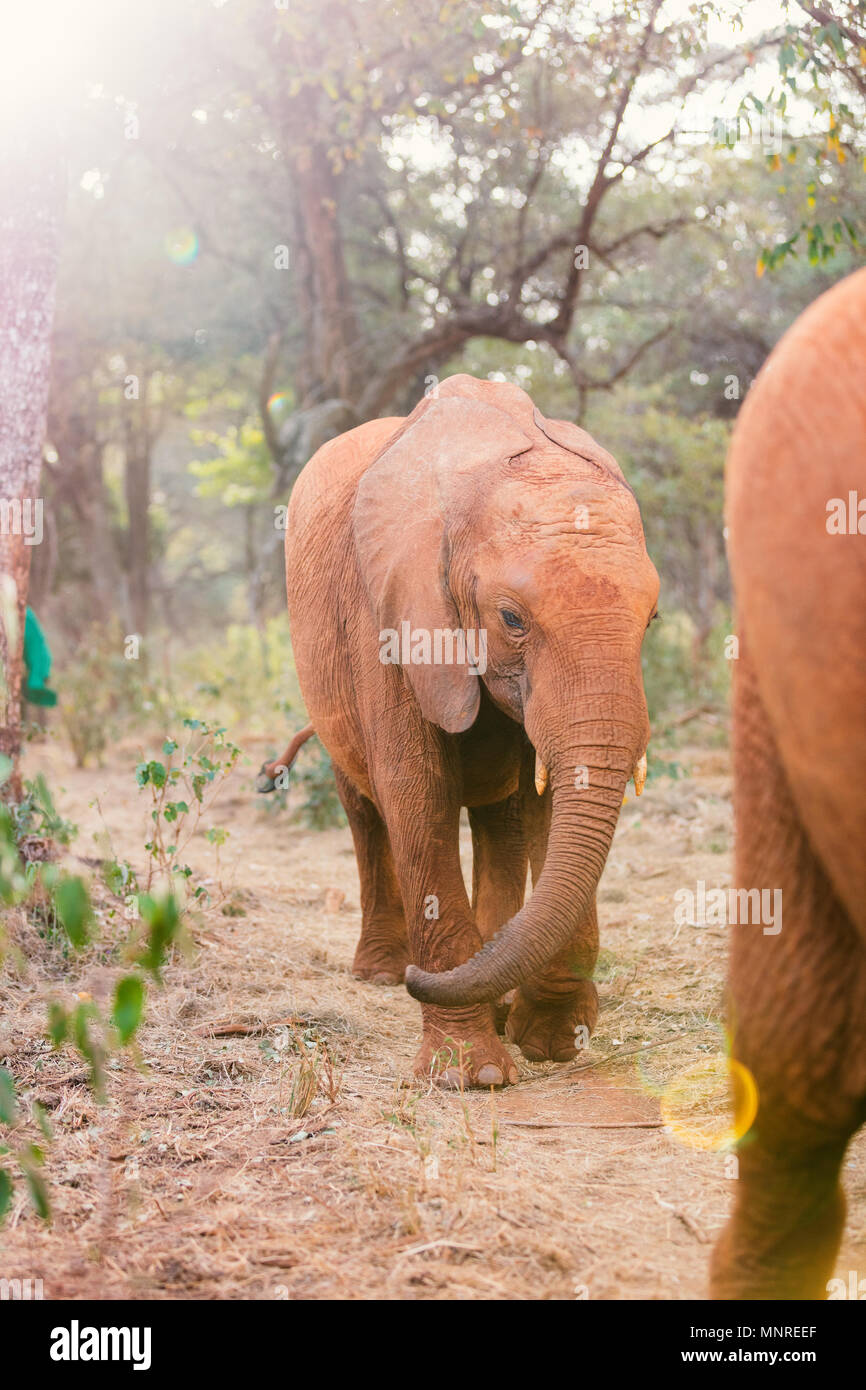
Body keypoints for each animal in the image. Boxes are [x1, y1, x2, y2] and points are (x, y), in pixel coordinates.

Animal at [284, 373, 658, 1087]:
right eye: (511, 620)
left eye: (651, 620)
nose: (416, 976)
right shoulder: (393, 611)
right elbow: (416, 792)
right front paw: (469, 1075)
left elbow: (549, 800)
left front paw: (550, 1040)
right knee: (364, 806)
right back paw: (382, 972)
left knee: (501, 820)